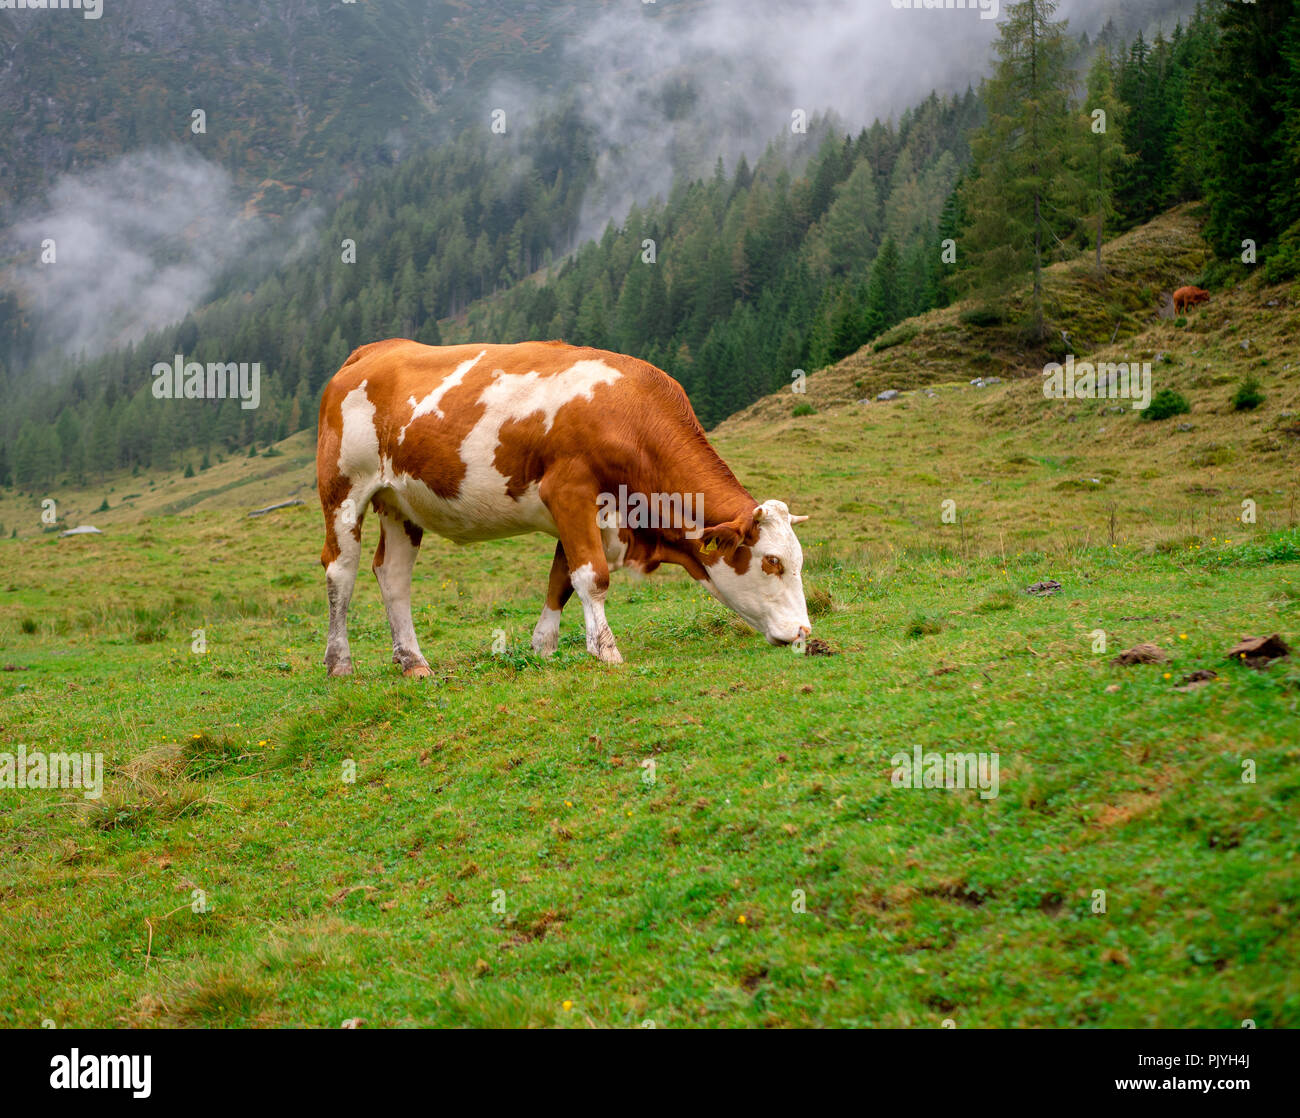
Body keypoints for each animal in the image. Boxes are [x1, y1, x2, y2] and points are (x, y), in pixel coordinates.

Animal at [315, 340, 812, 676]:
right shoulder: (569, 493)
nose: (804, 633)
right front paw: (606, 651)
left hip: (400, 505)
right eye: (771, 562)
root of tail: (374, 350)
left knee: (393, 575)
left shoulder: (583, 516)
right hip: (344, 490)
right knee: (341, 569)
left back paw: (413, 662)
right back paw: (340, 662)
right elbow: (592, 576)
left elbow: (561, 581)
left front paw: (544, 648)